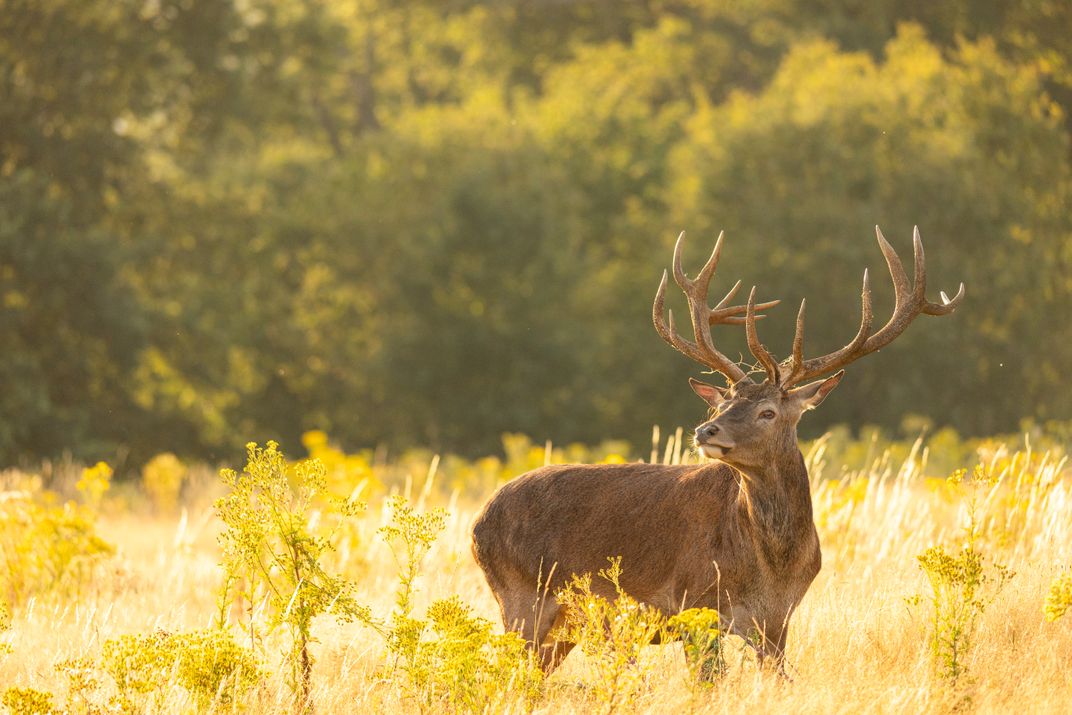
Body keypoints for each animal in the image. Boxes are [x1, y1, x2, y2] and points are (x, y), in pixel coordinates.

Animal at [471, 226, 964, 675]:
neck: (771, 567)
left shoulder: (778, 622)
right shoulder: (692, 603)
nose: (704, 430)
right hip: (521, 597)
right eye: (723, 403)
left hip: (563, 626)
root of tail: (477, 523)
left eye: (767, 411)